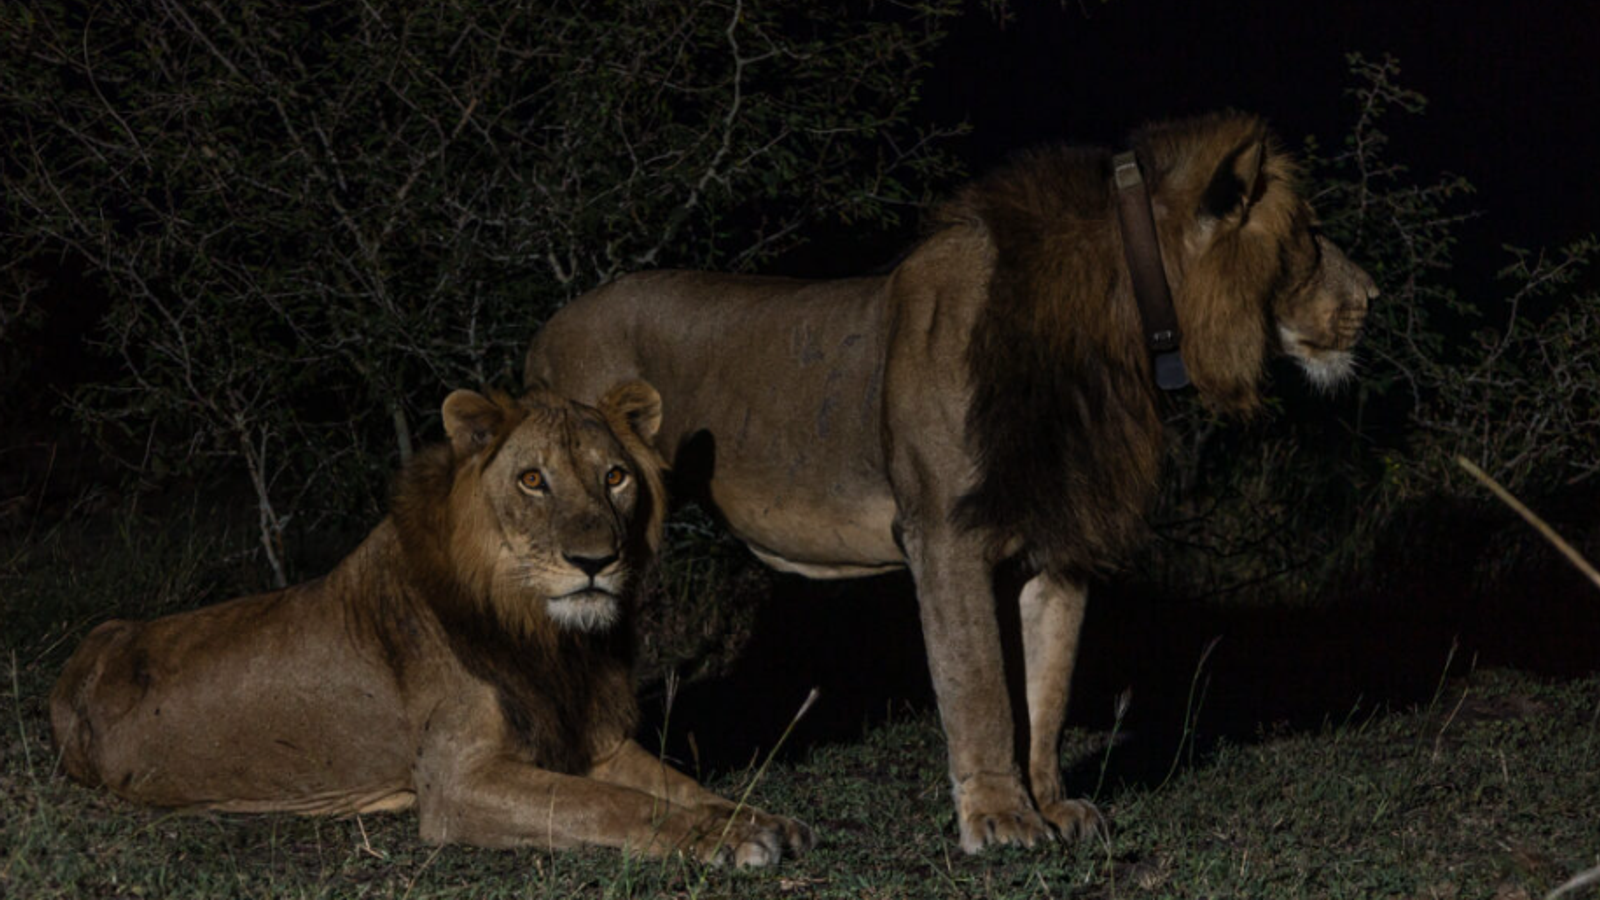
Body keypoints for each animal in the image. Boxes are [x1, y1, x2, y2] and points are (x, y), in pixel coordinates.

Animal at [49, 383, 813, 866]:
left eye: (616, 477)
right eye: (532, 480)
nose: (596, 561)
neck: (546, 635)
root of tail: (87, 654)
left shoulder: (588, 739)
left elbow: (676, 783)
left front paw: (754, 819)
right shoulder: (457, 783)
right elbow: (609, 806)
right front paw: (725, 840)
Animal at [524, 112, 1377, 853]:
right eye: (1309, 235)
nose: (1371, 297)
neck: (1116, 336)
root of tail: (548, 328)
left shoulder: (1061, 539)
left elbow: (1047, 688)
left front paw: (1053, 806)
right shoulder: (944, 532)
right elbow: (981, 687)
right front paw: (999, 819)